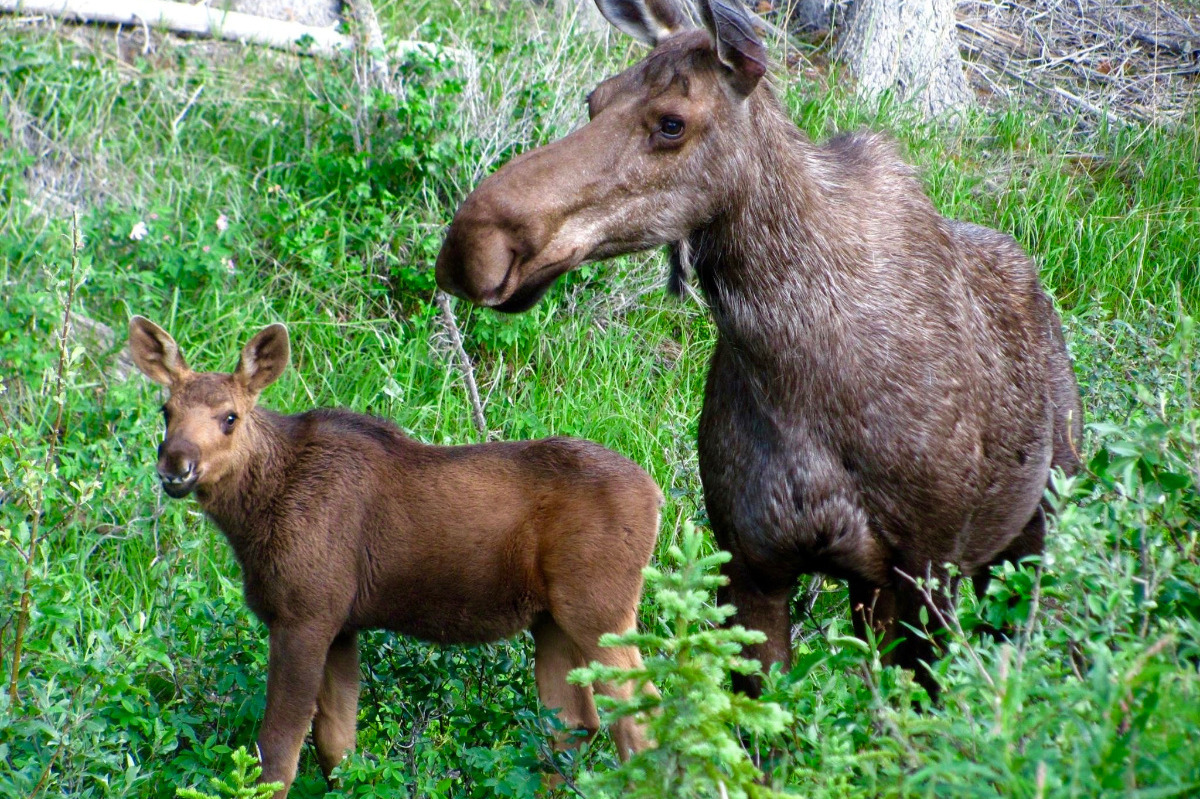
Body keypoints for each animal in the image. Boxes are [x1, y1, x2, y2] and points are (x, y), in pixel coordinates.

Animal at [128, 315, 662, 797]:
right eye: (165, 410)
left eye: (230, 417)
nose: (176, 464)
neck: (254, 517)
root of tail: (657, 497)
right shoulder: (342, 625)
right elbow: (337, 746)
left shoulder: (305, 615)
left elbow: (276, 756)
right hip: (552, 620)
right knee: (572, 723)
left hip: (600, 608)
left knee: (642, 717)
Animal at [433, 0, 1082, 699]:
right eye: (593, 100)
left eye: (671, 123)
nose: (472, 244)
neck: (794, 366)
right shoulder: (751, 564)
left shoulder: (924, 569)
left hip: (1036, 525)